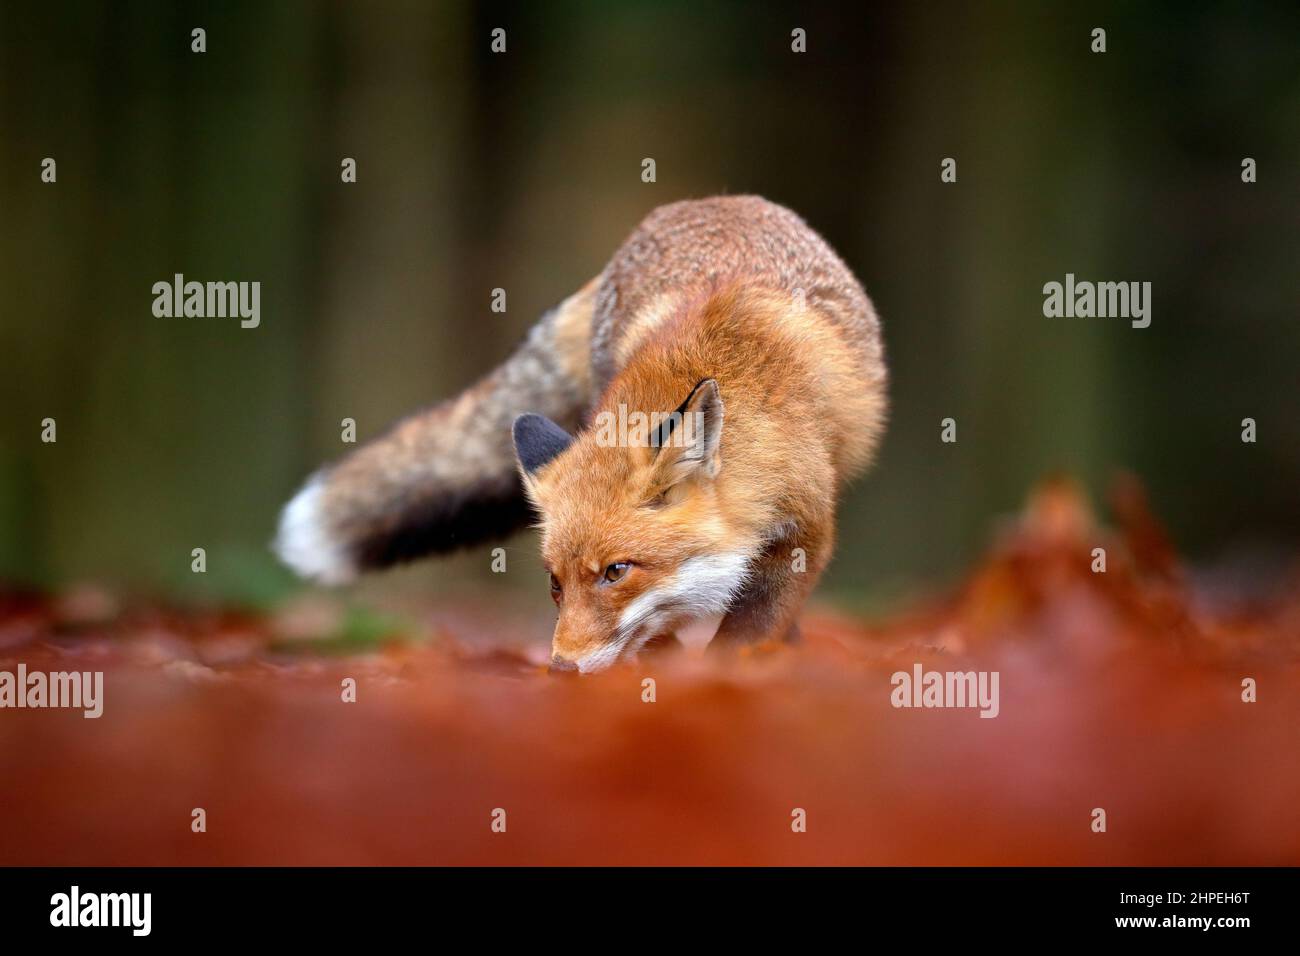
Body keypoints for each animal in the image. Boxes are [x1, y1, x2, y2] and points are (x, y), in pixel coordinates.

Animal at [275, 196, 888, 672]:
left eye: (616, 572)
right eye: (554, 582)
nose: (561, 669)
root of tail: (705, 200)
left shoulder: (803, 533)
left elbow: (747, 633)